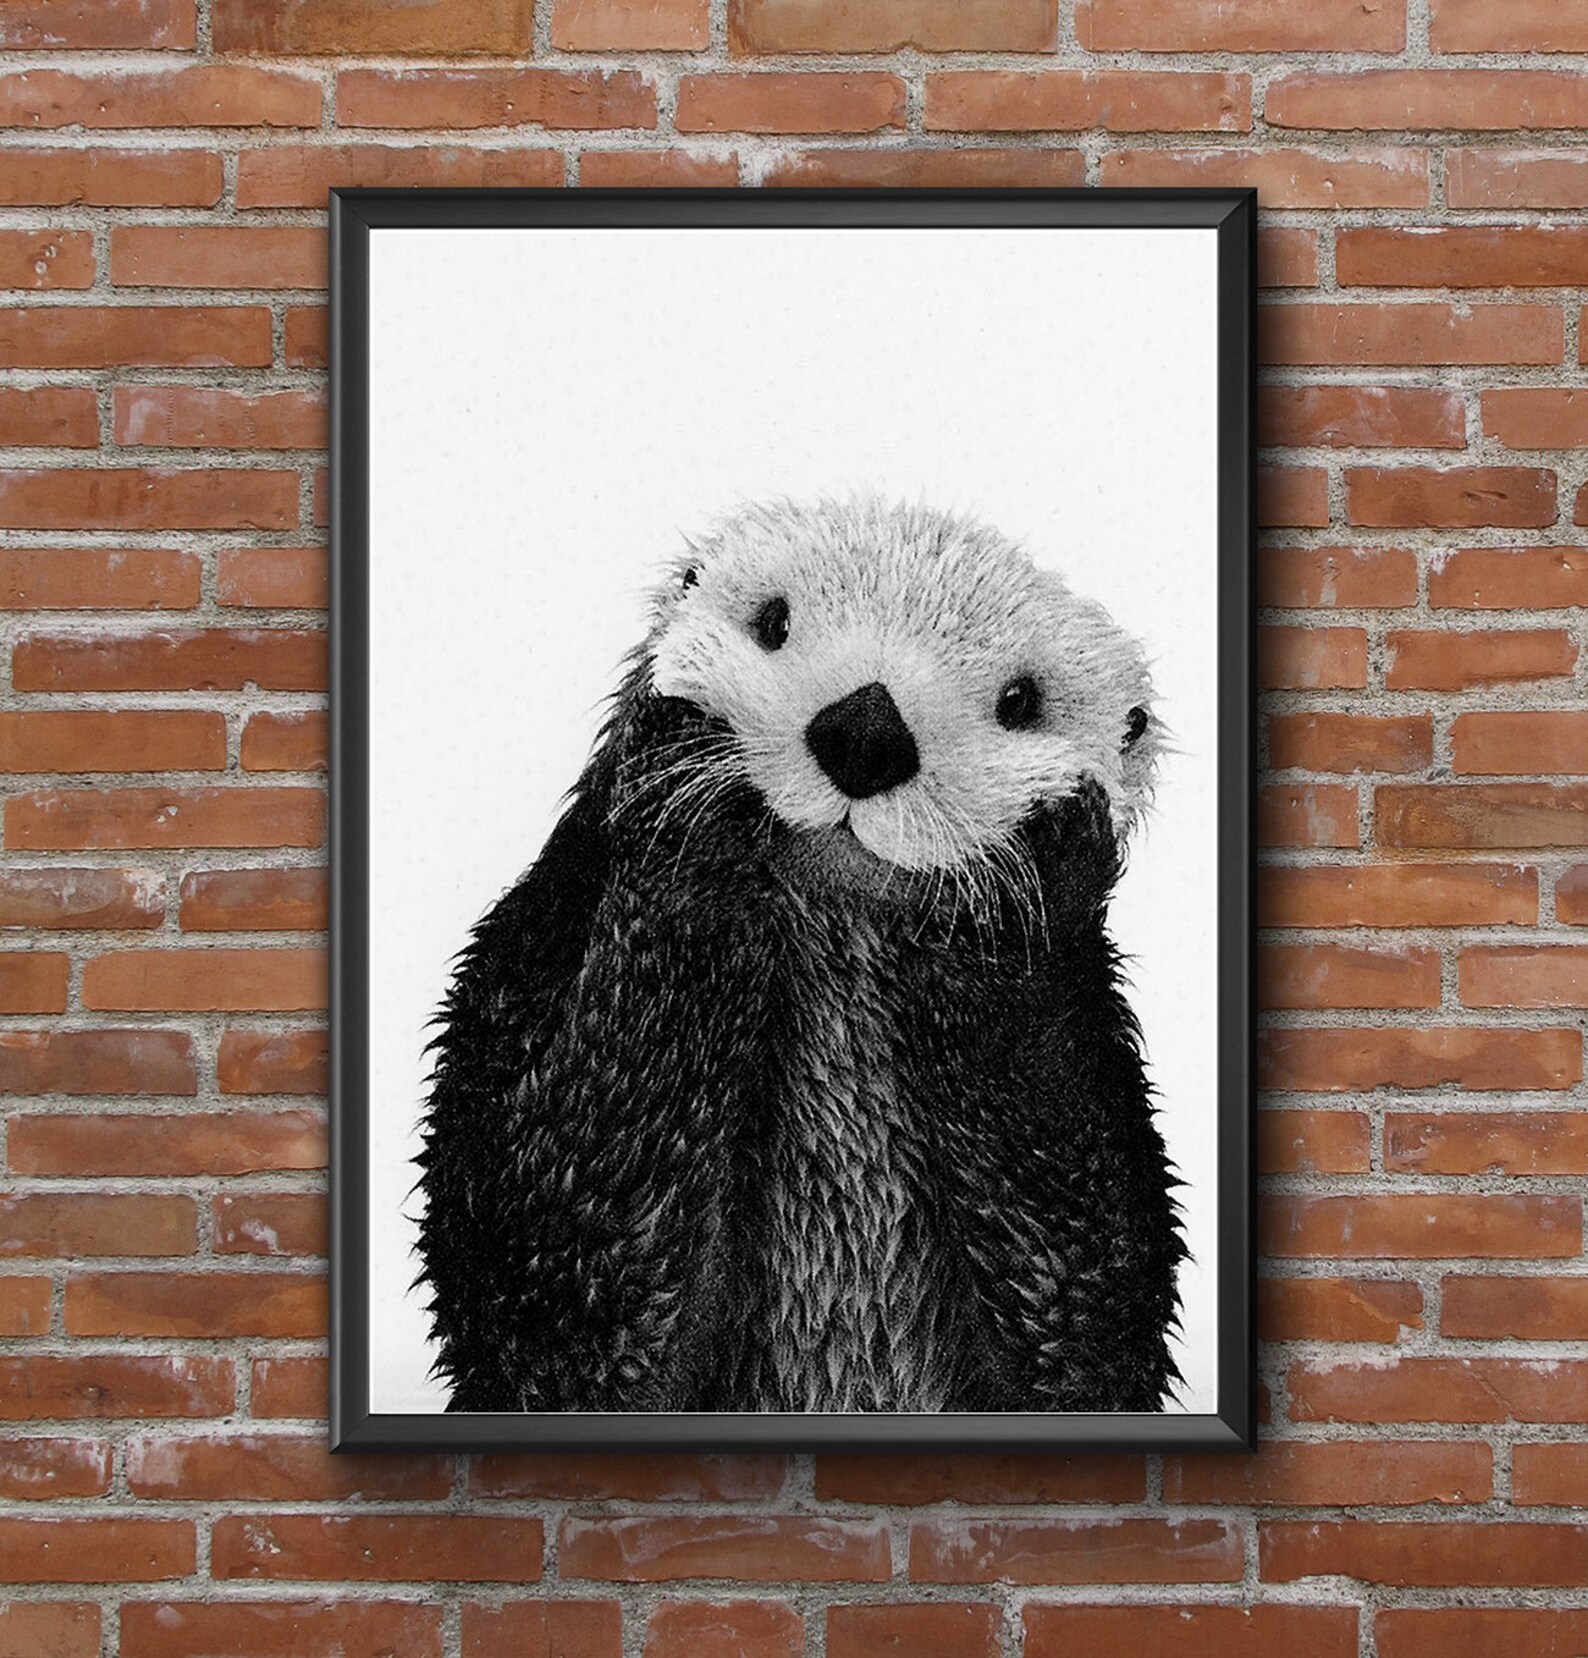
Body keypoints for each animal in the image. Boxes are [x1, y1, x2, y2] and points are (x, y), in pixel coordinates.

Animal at [417, 497, 1184, 1414]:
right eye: (773, 623)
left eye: (1021, 701)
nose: (867, 731)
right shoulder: (533, 959)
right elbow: (557, 1286)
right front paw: (686, 771)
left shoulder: (1097, 1083)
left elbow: (1080, 1306)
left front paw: (1025, 868)